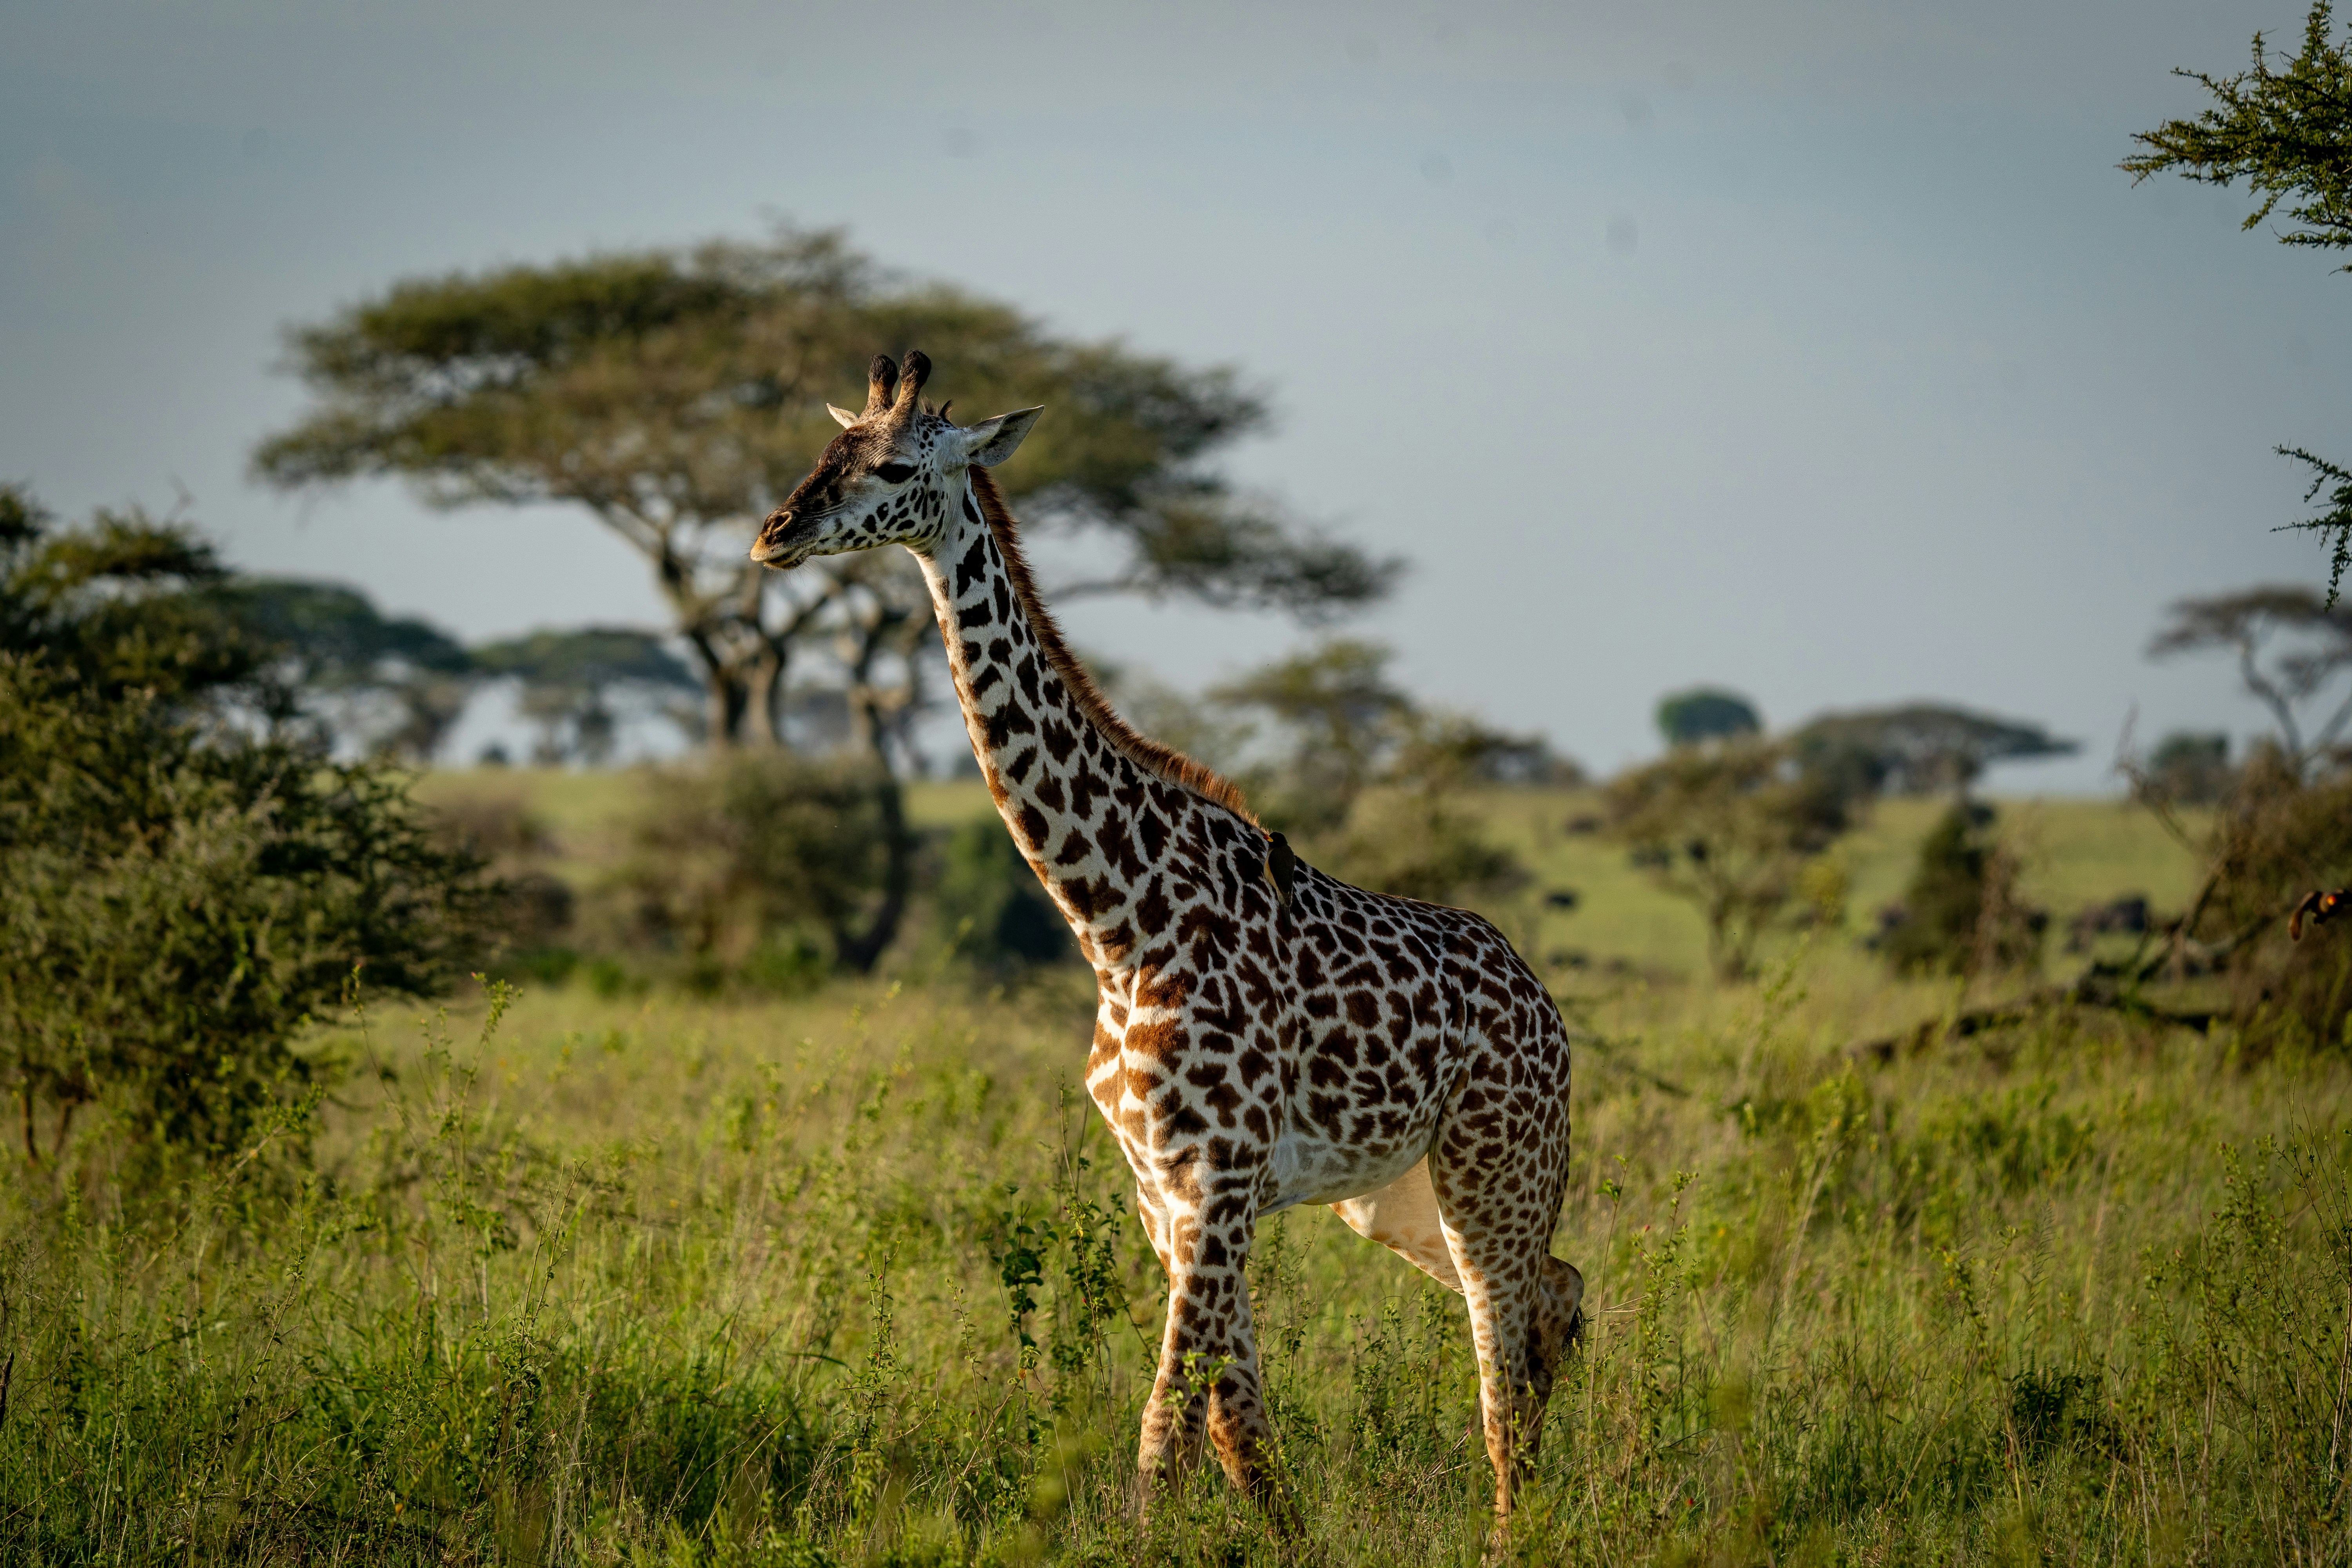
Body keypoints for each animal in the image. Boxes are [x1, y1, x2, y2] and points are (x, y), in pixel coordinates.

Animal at [753, 350, 1584, 1526]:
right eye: (827, 449)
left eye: (898, 465)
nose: (773, 532)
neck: (1116, 920)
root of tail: (1544, 1002)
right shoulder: (1164, 1190)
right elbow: (1235, 1418)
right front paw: (1290, 1540)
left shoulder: (1217, 1177)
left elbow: (1166, 1430)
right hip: (1390, 1197)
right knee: (1558, 1294)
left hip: (1495, 1160)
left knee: (1502, 1351)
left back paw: (1516, 1529)